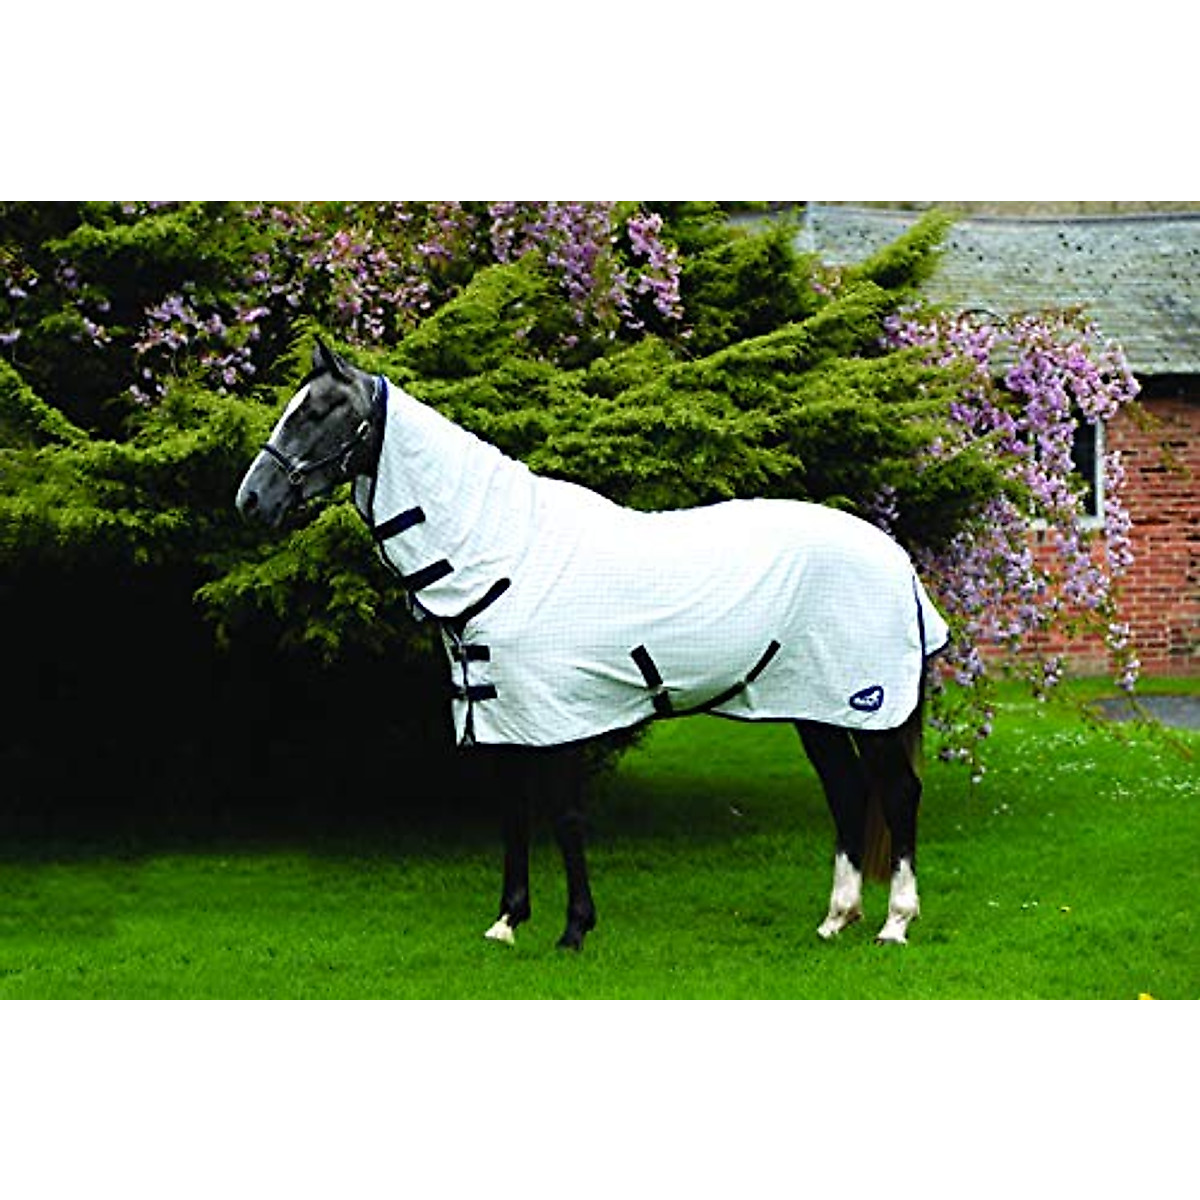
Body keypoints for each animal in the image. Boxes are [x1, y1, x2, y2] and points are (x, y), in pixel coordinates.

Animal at [236, 340, 949, 950]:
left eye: (318, 412)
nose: (251, 500)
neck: (504, 553)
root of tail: (896, 558)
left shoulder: (560, 716)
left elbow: (566, 817)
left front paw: (575, 928)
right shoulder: (503, 715)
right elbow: (513, 814)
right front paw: (507, 921)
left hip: (868, 705)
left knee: (897, 793)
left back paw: (896, 923)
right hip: (813, 706)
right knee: (847, 792)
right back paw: (836, 918)